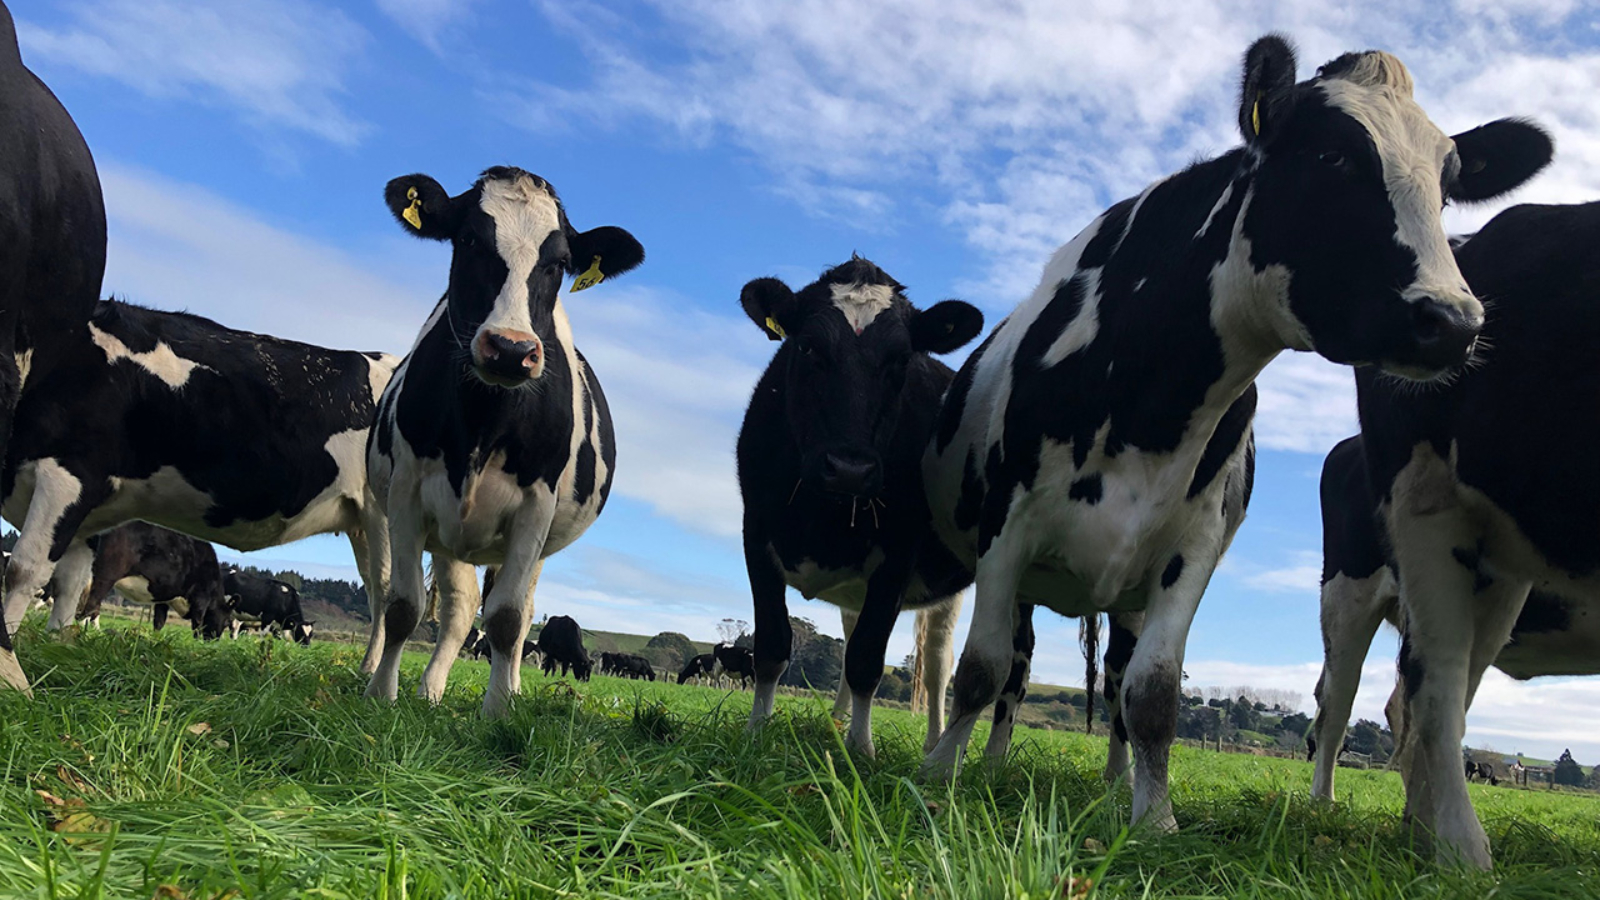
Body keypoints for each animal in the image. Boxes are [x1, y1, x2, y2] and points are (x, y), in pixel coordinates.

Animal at [73, 522, 230, 639]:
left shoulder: (164, 597)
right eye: (227, 622)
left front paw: (155, 639)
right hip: (106, 575)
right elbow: (197, 623)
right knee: (91, 605)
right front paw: (197, 642)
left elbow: (159, 621)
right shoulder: (201, 598)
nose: (214, 641)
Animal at [361, 167, 638, 715]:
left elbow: (507, 619)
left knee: (519, 609)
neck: (483, 422)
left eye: (559, 262)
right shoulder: (406, 492)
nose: (511, 349)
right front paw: (381, 695)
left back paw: (508, 688)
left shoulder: (536, 506)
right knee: (459, 607)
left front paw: (497, 712)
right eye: (469, 239)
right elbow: (404, 606)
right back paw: (430, 691)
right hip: (446, 533)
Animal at [737, 256, 982, 755]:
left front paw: (861, 751)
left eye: (902, 359)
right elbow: (772, 645)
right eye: (808, 346)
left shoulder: (899, 555)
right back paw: (835, 719)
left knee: (937, 663)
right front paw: (756, 731)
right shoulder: (755, 534)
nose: (850, 468)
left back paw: (934, 742)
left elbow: (868, 657)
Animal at [917, 34, 1552, 839]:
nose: (1455, 321)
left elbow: (1154, 695)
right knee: (1017, 666)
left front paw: (1153, 820)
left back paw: (1111, 786)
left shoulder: (1192, 549)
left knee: (1117, 680)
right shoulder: (1007, 524)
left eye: (1447, 187)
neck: (1151, 400)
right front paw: (938, 774)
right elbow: (982, 668)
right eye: (1332, 156)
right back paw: (993, 762)